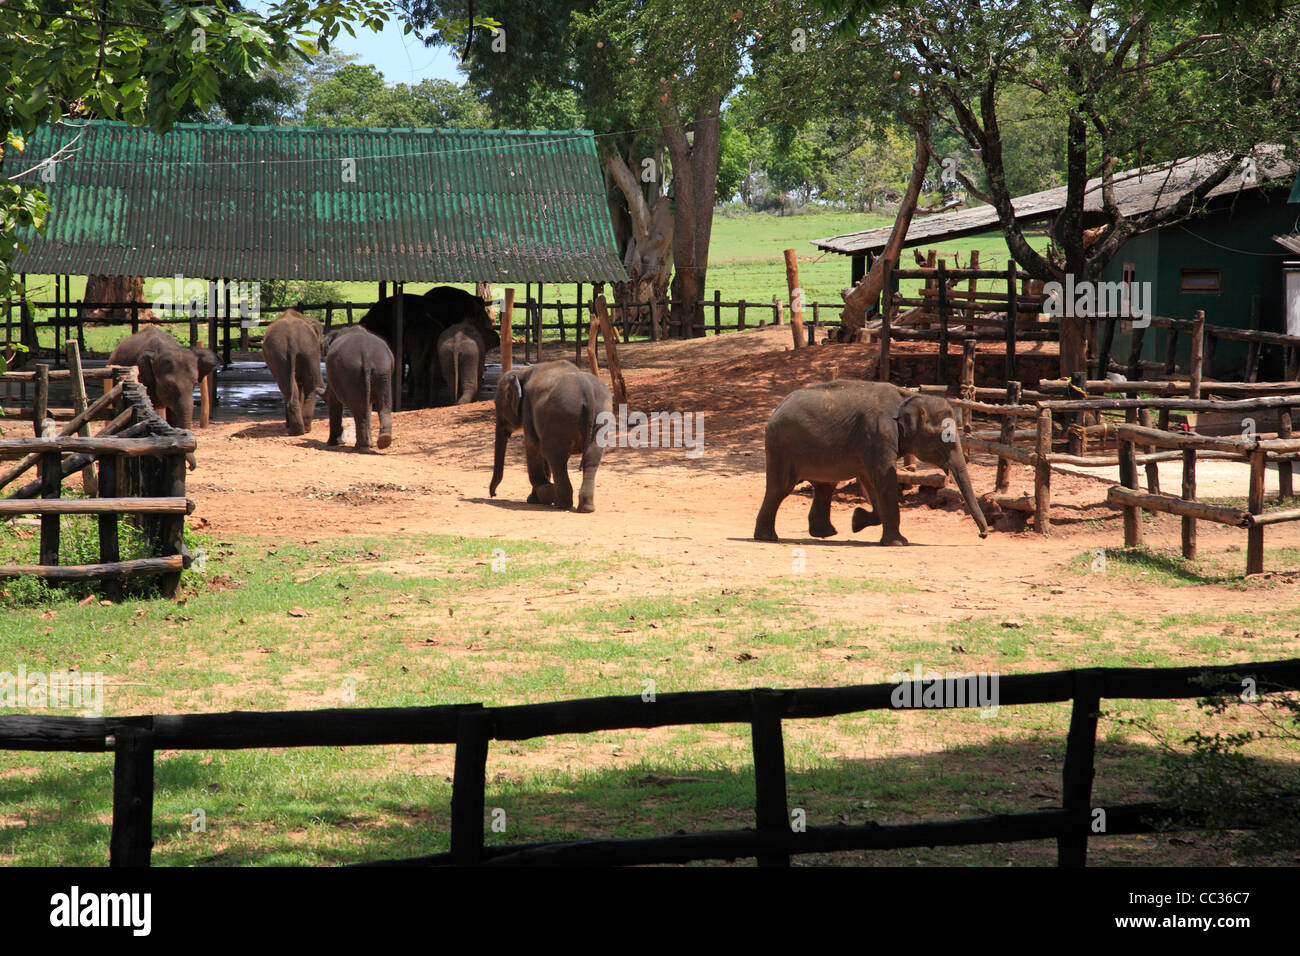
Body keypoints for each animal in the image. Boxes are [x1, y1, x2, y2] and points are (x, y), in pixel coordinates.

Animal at [490, 360, 611, 512]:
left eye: (498, 405)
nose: (493, 494)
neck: (523, 371)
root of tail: (586, 389)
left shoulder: (528, 408)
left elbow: (533, 447)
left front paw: (536, 499)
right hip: (601, 415)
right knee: (591, 457)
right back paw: (585, 508)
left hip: (560, 415)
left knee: (555, 457)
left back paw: (561, 504)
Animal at [753, 380, 989, 546]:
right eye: (946, 437)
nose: (983, 534)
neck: (910, 397)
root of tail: (777, 407)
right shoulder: (879, 433)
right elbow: (884, 477)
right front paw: (898, 543)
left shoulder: (872, 443)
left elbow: (871, 479)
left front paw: (856, 521)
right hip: (781, 446)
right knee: (781, 488)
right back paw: (767, 538)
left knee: (825, 487)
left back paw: (825, 533)